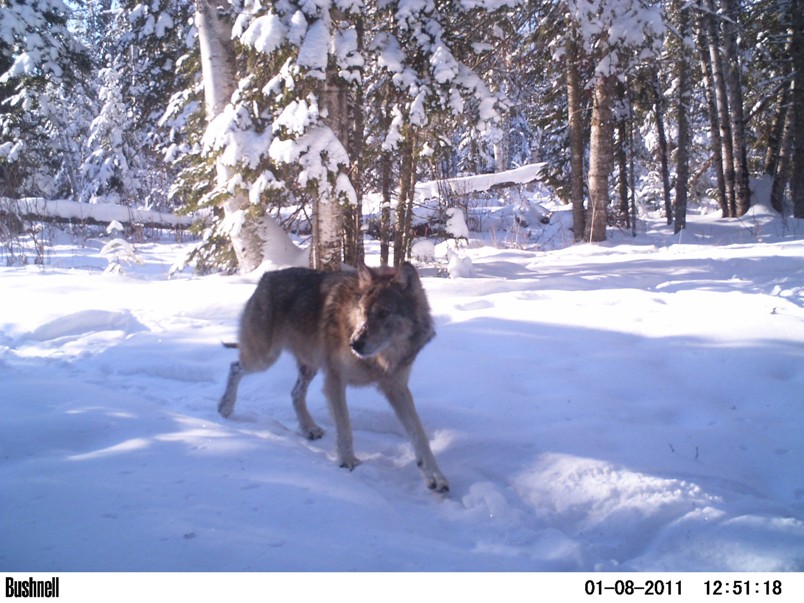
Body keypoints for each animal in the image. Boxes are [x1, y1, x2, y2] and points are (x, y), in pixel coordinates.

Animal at [218, 261, 449, 493]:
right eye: (362, 311)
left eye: (384, 313)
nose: (354, 344)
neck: (380, 359)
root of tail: (266, 276)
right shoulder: (335, 381)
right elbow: (345, 426)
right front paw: (347, 461)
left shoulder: (397, 388)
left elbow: (419, 434)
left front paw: (435, 476)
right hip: (263, 359)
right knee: (234, 367)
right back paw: (225, 407)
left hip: (308, 367)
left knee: (294, 393)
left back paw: (309, 429)